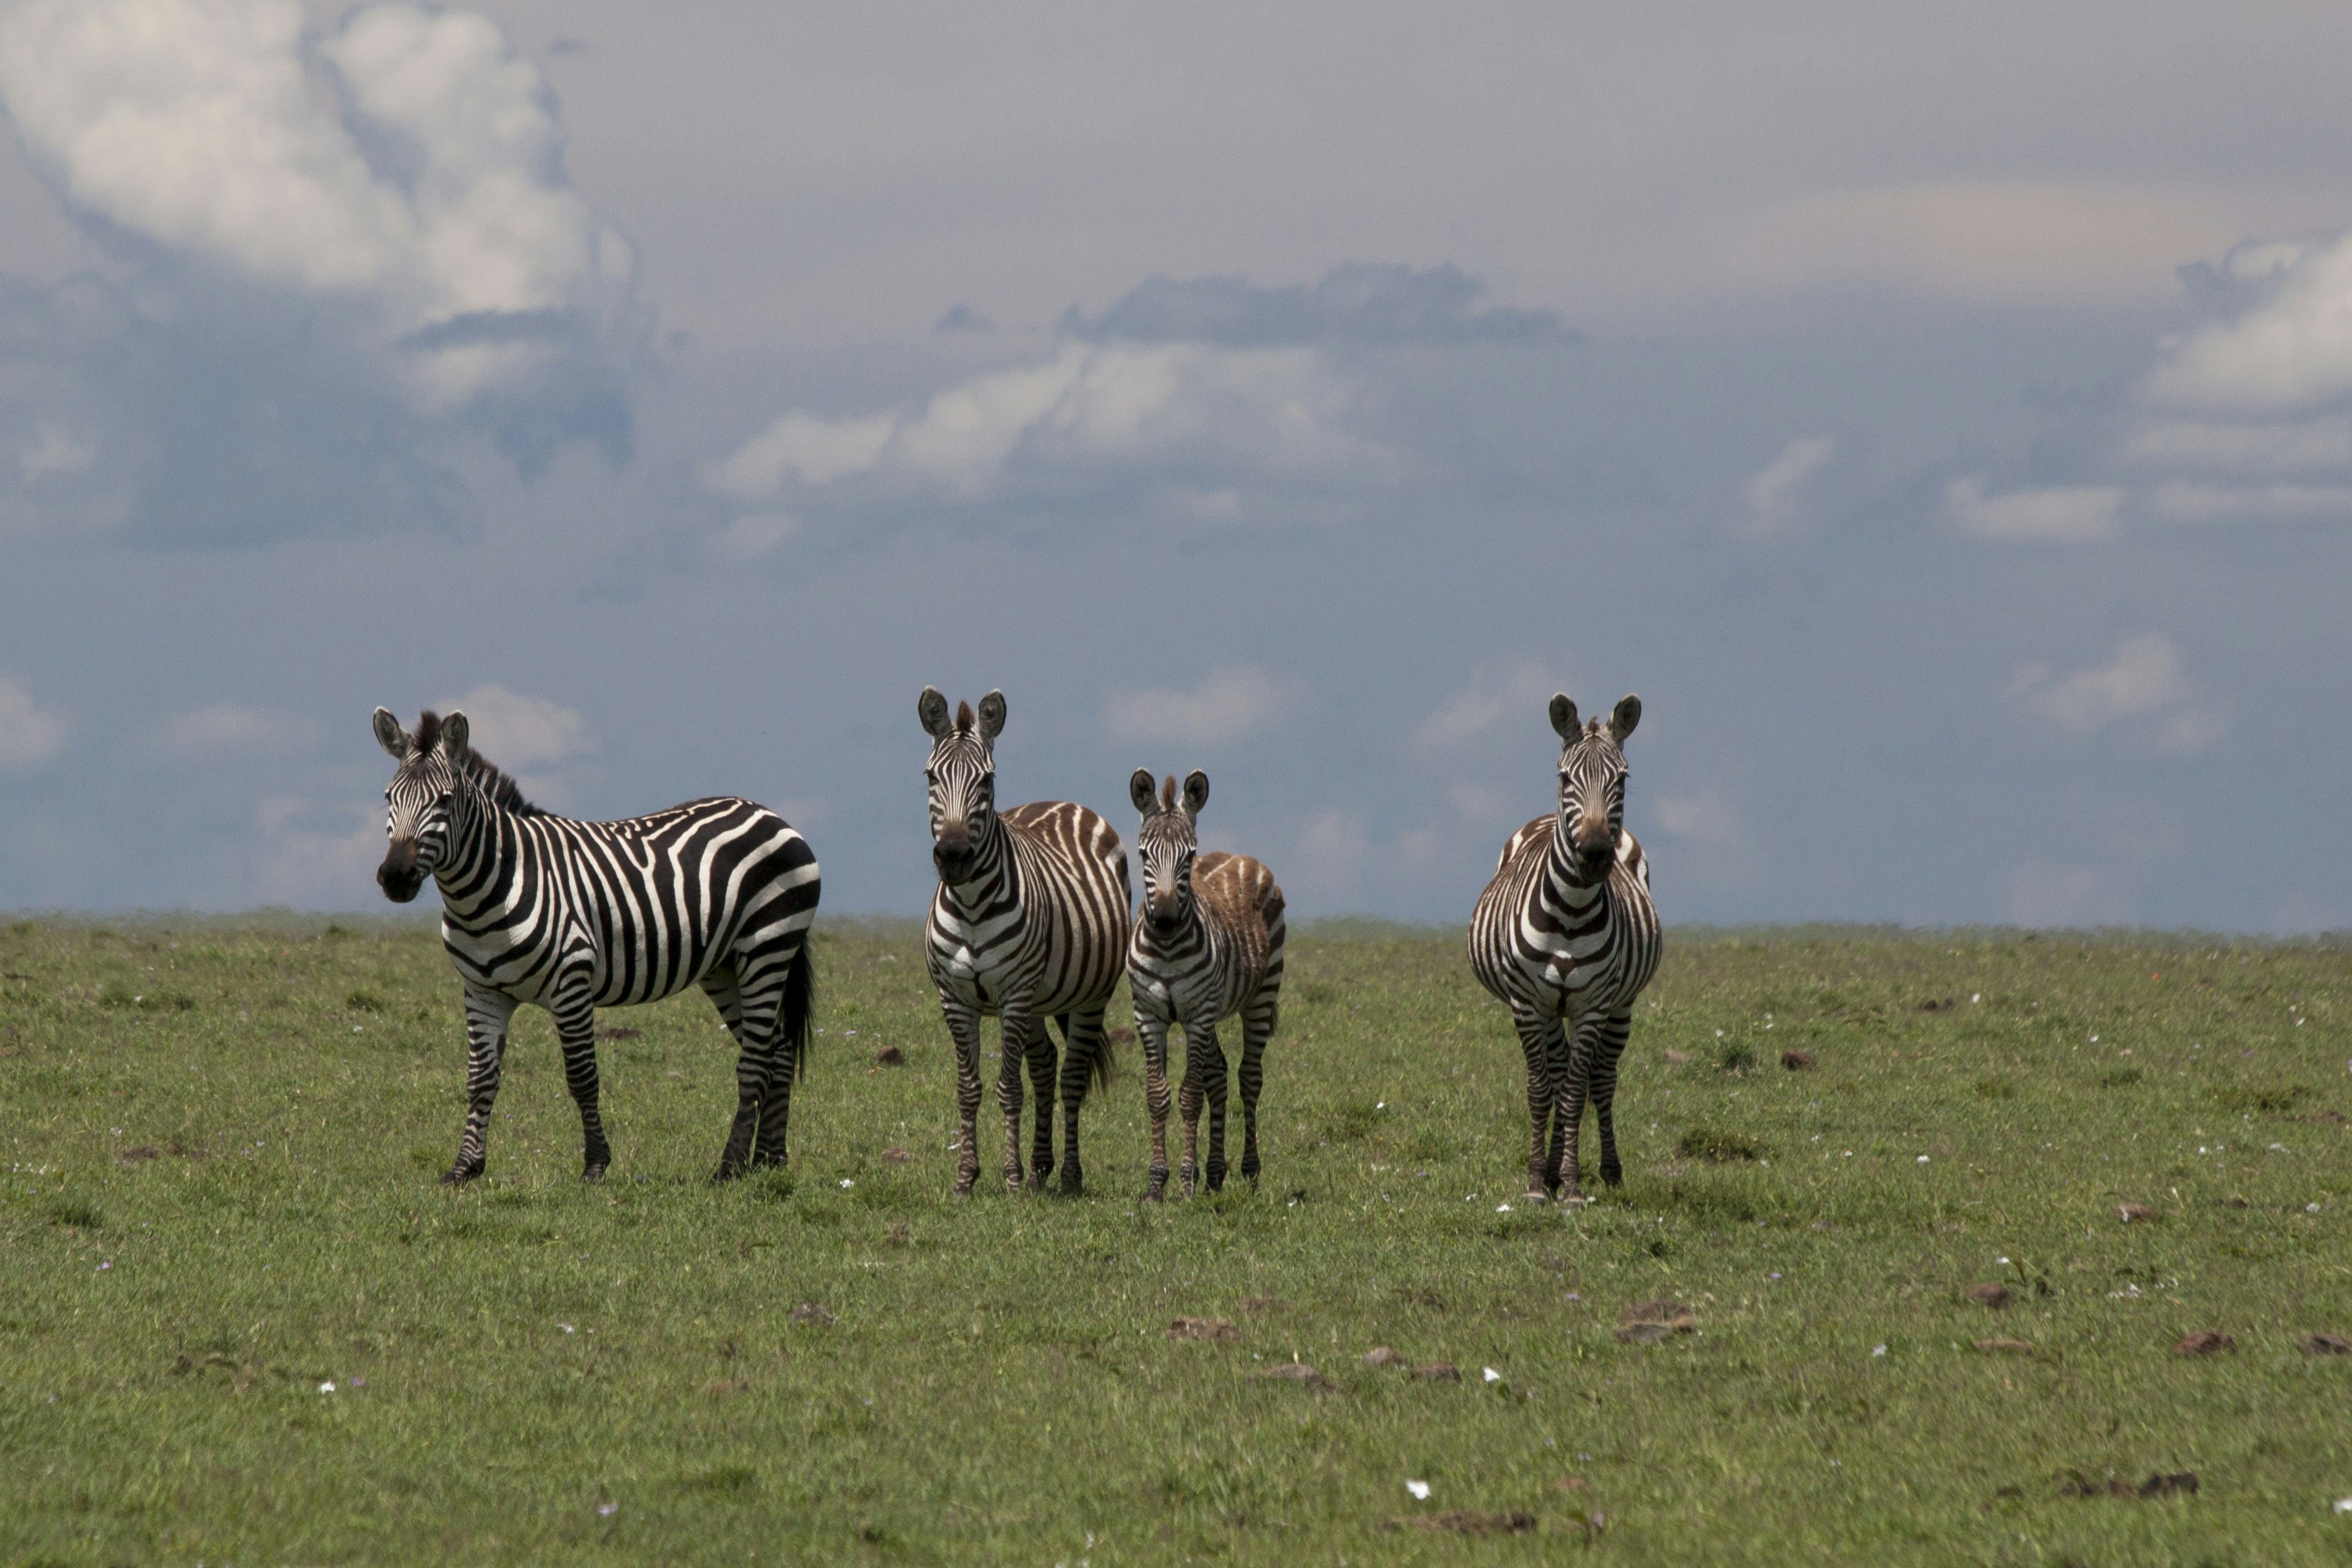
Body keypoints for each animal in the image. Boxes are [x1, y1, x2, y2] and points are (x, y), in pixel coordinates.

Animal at [372, 706, 820, 1185]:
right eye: (389, 798)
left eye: (444, 800)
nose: (395, 877)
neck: (493, 887)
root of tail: (768, 813)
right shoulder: (483, 991)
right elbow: (480, 1080)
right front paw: (464, 1167)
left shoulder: (571, 980)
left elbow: (582, 1077)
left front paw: (595, 1164)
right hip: (725, 966)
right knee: (777, 1051)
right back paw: (770, 1159)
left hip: (768, 948)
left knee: (754, 1061)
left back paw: (731, 1166)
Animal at [919, 687, 1130, 1196]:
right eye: (931, 776)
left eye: (987, 781)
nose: (953, 857)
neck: (972, 906)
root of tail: (1064, 801)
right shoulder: (955, 998)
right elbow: (969, 1088)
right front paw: (967, 1178)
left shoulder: (1013, 994)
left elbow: (1008, 1089)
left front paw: (1011, 1178)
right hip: (1038, 997)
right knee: (1045, 1064)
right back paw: (1041, 1168)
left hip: (1090, 994)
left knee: (1071, 1075)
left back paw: (1068, 1175)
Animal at [1125, 769, 1285, 1201]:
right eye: (1143, 855)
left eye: (1189, 857)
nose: (1164, 920)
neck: (1166, 948)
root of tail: (1242, 856)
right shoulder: (1148, 1016)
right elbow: (1158, 1095)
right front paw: (1157, 1185)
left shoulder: (1197, 1016)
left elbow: (1190, 1096)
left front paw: (1184, 1184)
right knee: (1219, 1074)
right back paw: (1213, 1174)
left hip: (1261, 995)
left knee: (1249, 1078)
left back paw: (1249, 1172)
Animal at [1467, 694, 1662, 1202]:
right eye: (1565, 777)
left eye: (1622, 778)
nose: (1594, 854)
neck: (1572, 910)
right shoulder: (1527, 1002)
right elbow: (1541, 1090)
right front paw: (1539, 1182)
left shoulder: (1594, 1003)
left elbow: (1576, 1090)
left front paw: (1572, 1186)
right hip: (1553, 1006)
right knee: (1556, 1073)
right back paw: (1552, 1169)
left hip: (1621, 1003)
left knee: (1601, 1079)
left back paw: (1608, 1170)